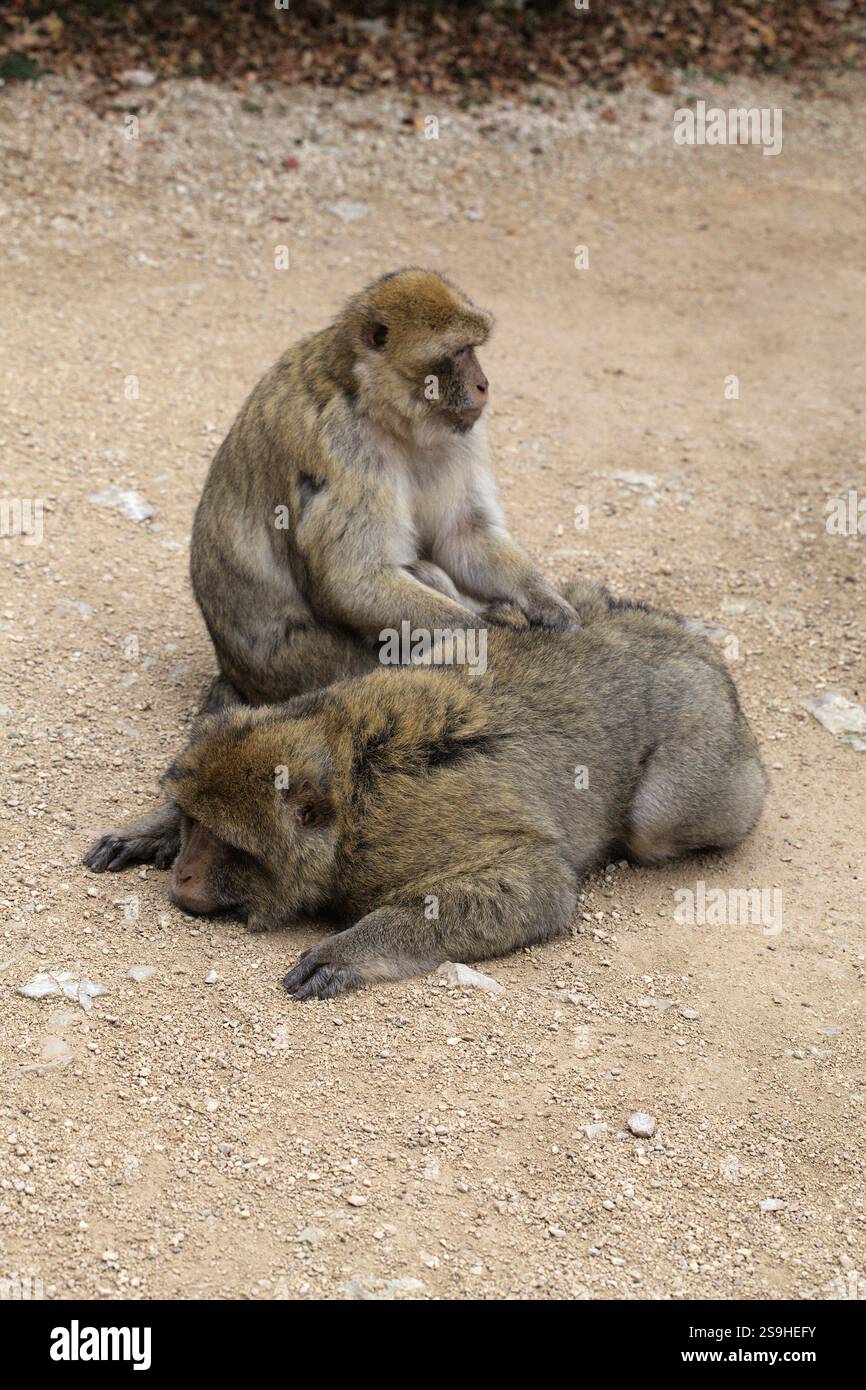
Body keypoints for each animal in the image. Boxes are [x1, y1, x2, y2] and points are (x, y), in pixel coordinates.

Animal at [84, 268, 577, 875]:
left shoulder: (456, 434)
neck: (370, 400)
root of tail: (230, 665)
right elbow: (352, 579)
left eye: (475, 350)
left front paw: (547, 607)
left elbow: (465, 537)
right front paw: (486, 634)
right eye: (459, 352)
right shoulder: (340, 445)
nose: (484, 385)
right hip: (295, 666)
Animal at [162, 581, 768, 1001]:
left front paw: (352, 949)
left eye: (226, 844)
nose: (183, 875)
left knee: (653, 823)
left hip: (711, 754)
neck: (352, 778)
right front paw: (155, 830)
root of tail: (691, 642)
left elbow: (539, 887)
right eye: (196, 825)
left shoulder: (395, 841)